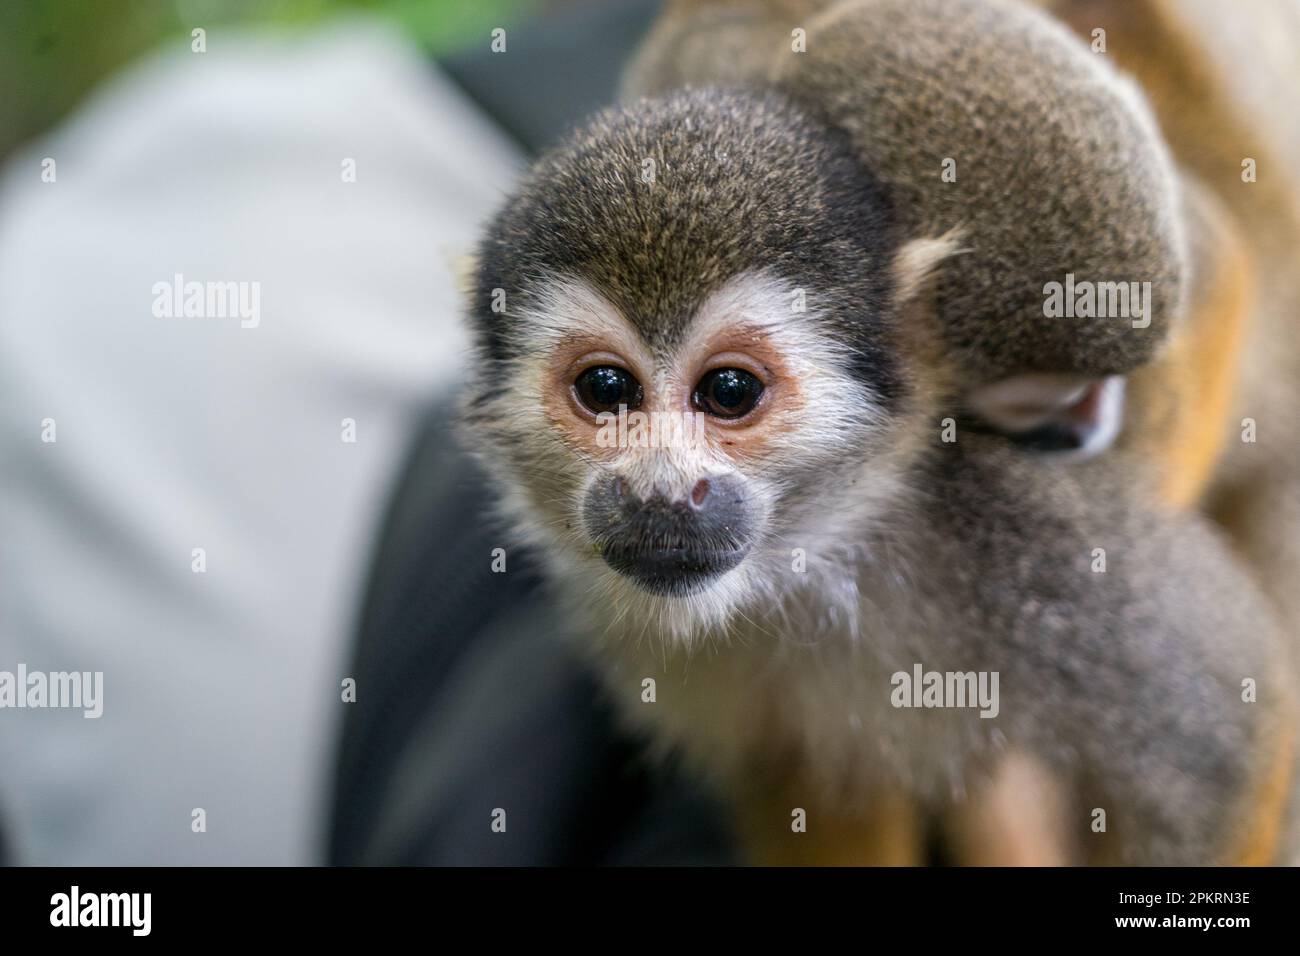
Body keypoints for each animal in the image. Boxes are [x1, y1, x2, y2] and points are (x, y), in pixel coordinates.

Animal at [461, 86, 1297, 865]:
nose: (663, 491)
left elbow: (1224, 735)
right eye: (606, 390)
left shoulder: (1030, 540)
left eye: (728, 392)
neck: (822, 554)